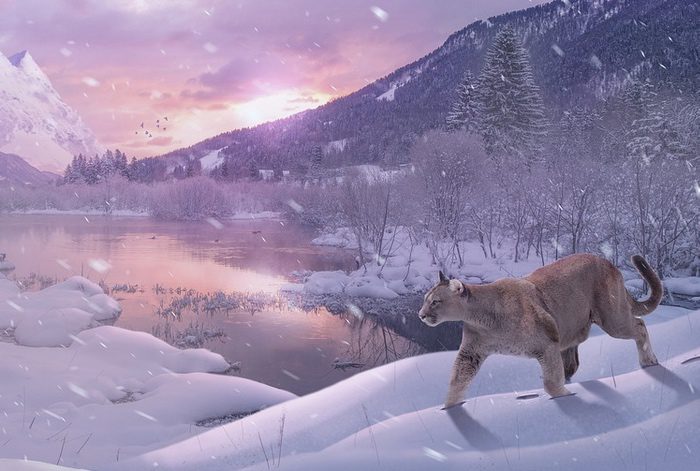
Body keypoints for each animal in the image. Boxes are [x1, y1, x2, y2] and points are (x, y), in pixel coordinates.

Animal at [418, 254, 663, 408]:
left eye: (435, 302)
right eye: (424, 300)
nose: (420, 314)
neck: (483, 318)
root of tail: (607, 261)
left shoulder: (546, 344)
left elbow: (551, 381)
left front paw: (564, 396)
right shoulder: (471, 354)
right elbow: (457, 381)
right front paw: (448, 409)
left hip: (612, 319)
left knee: (639, 325)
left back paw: (649, 361)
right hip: (571, 331)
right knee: (572, 363)